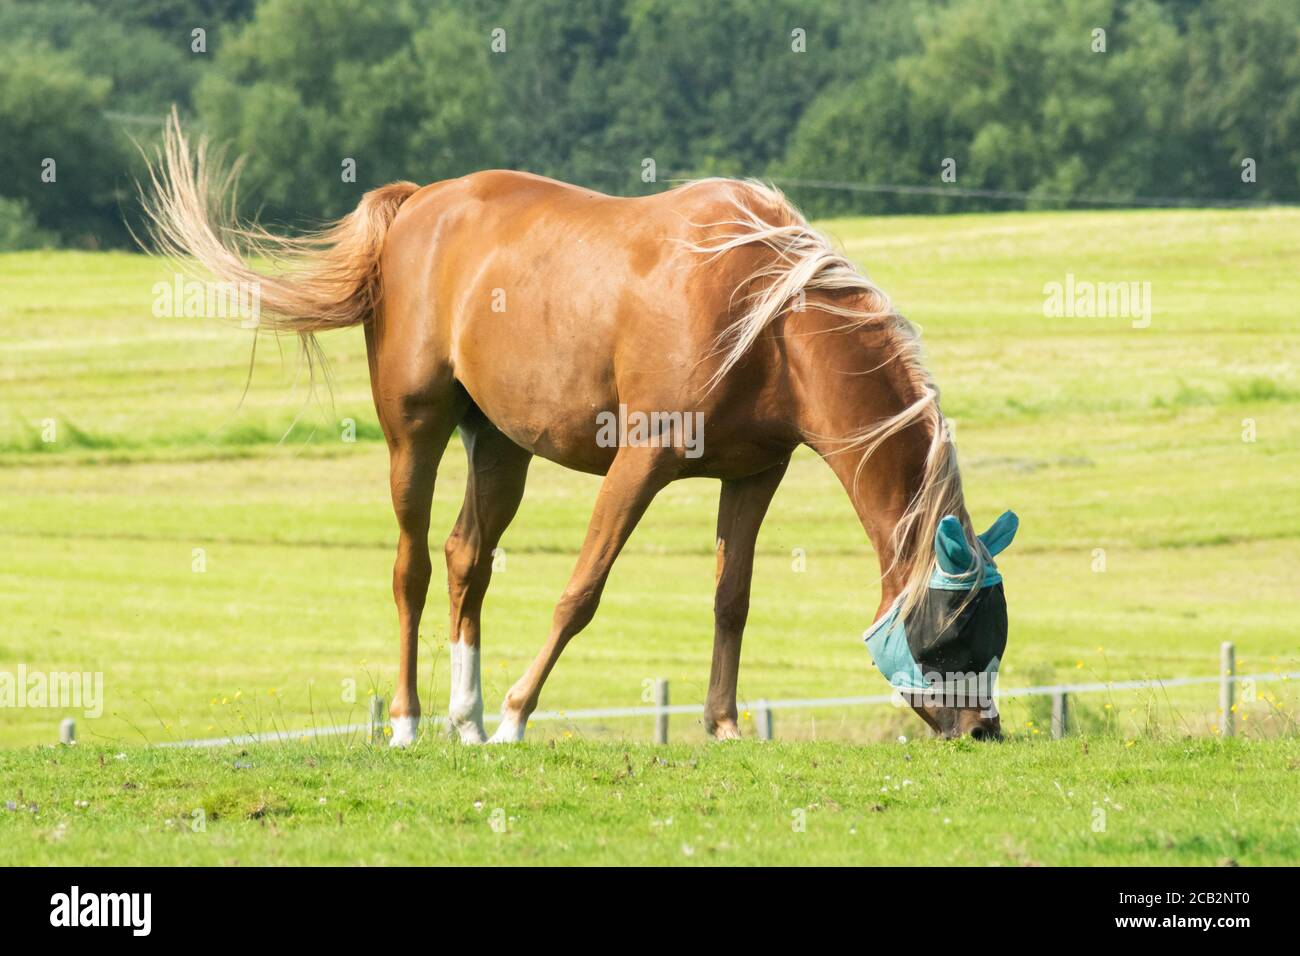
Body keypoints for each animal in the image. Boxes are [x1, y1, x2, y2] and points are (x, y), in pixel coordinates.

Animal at [143, 114, 1017, 744]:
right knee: (412, 567)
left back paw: (463, 720)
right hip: (413, 431)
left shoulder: (753, 474)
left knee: (466, 558)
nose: (985, 729)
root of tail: (419, 204)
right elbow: (581, 591)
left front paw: (725, 726)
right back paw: (412, 721)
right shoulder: (642, 462)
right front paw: (516, 717)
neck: (765, 315)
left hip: (497, 445)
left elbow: (731, 599)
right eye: (953, 631)